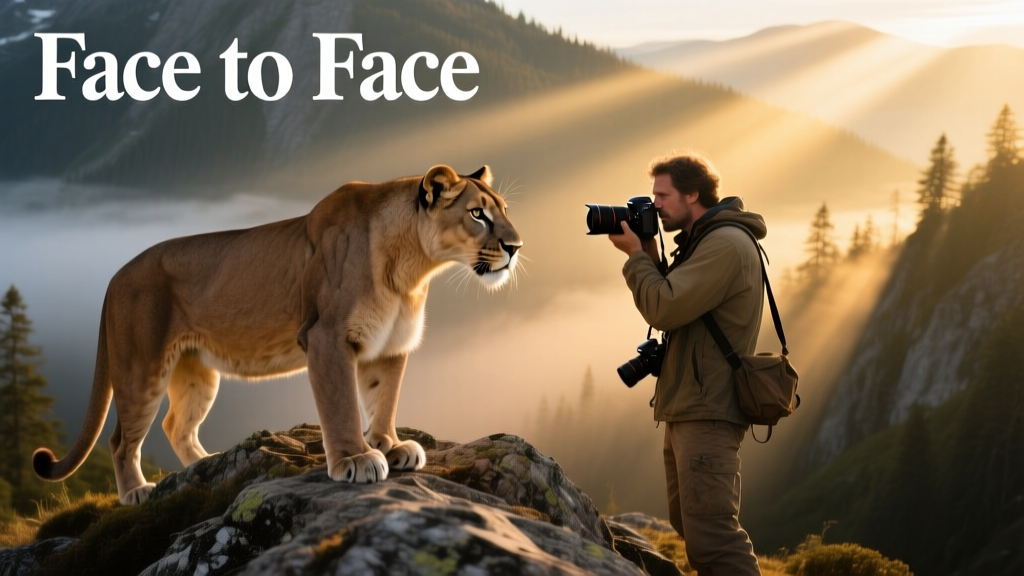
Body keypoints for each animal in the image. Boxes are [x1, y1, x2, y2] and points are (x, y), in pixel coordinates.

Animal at [32, 165, 522, 505]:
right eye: (477, 214)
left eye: (503, 210)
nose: (516, 247)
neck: (413, 269)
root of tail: (115, 276)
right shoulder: (326, 337)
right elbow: (343, 406)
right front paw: (356, 458)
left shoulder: (390, 345)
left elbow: (383, 399)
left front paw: (391, 444)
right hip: (142, 367)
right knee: (121, 440)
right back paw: (136, 492)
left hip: (195, 373)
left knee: (176, 425)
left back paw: (207, 465)